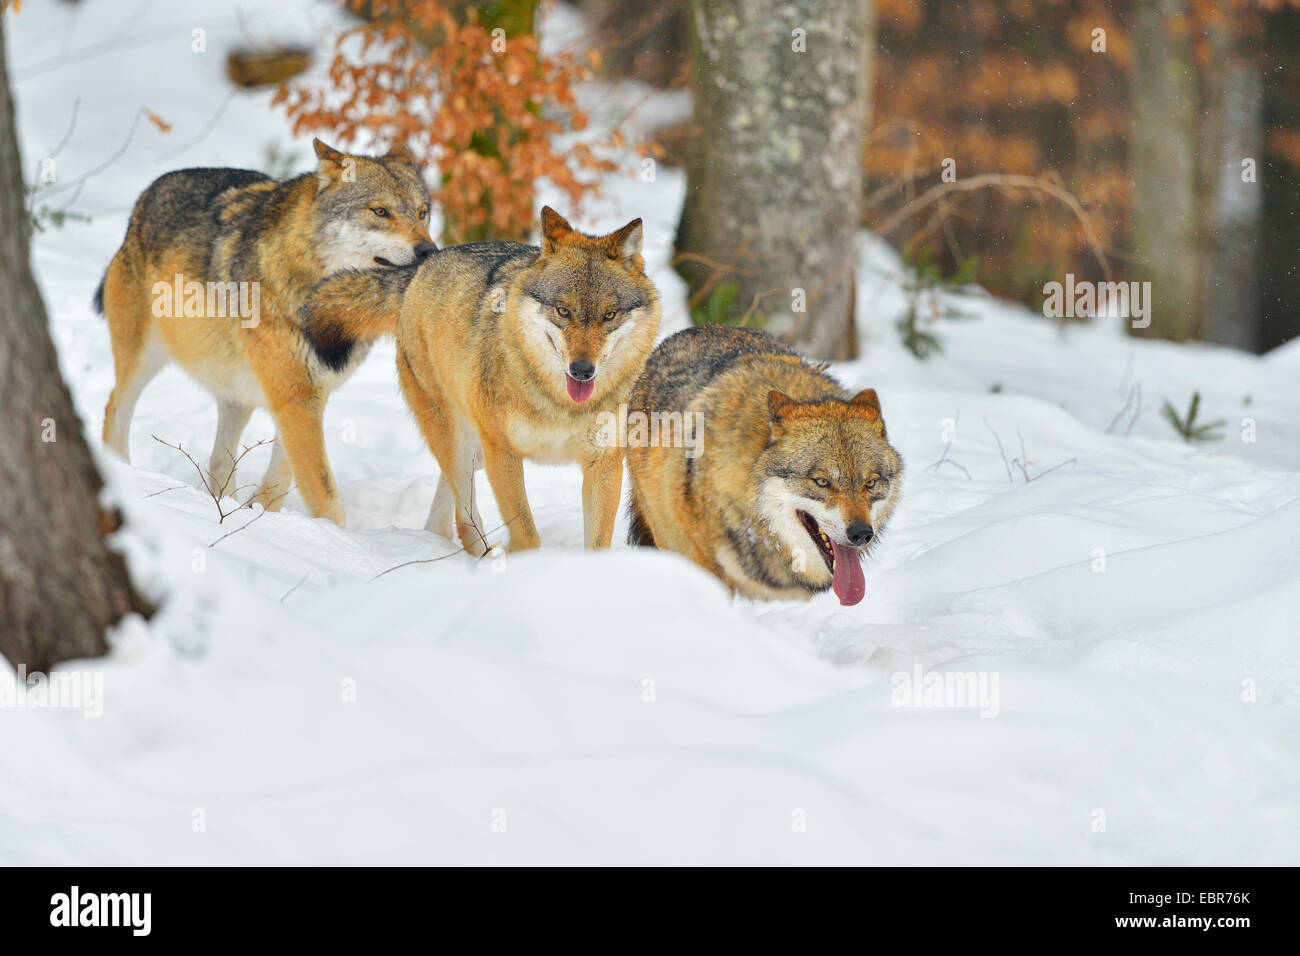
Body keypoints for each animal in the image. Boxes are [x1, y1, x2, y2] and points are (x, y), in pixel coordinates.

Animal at [95, 138, 436, 525]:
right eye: (380, 211)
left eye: (422, 213)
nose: (429, 250)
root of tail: (149, 191)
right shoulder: (296, 398)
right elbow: (325, 494)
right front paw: (335, 537)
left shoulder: (309, 396)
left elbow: (282, 477)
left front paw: (260, 512)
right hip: (143, 360)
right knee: (115, 406)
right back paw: (123, 470)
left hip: (236, 395)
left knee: (219, 460)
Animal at [301, 206, 659, 552]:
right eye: (563, 311)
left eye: (609, 315)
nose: (582, 370)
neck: (559, 404)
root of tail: (424, 265)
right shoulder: (502, 451)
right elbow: (527, 536)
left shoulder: (604, 464)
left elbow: (597, 545)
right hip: (458, 439)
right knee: (463, 514)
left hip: (474, 452)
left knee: (448, 500)